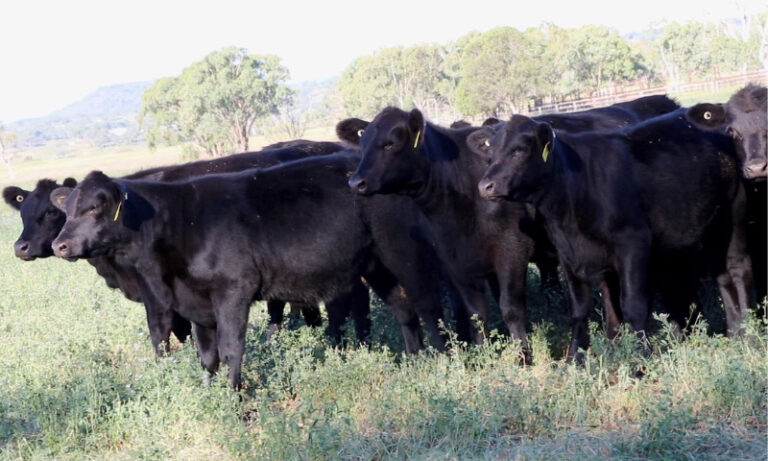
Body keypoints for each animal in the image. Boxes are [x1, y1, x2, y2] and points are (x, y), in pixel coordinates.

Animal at [50, 152, 446, 388]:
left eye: (95, 207)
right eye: (66, 210)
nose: (59, 245)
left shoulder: (233, 290)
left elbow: (230, 349)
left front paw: (235, 396)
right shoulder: (196, 303)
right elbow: (206, 356)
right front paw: (209, 394)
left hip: (402, 251)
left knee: (427, 305)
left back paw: (446, 358)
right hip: (375, 263)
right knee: (403, 307)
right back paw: (414, 360)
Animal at [473, 111, 754, 360]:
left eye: (519, 150)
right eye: (490, 153)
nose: (485, 186)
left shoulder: (632, 244)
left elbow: (633, 305)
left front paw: (640, 359)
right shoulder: (569, 254)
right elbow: (582, 309)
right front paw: (576, 358)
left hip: (734, 216)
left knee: (737, 270)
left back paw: (747, 331)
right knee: (720, 277)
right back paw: (733, 332)